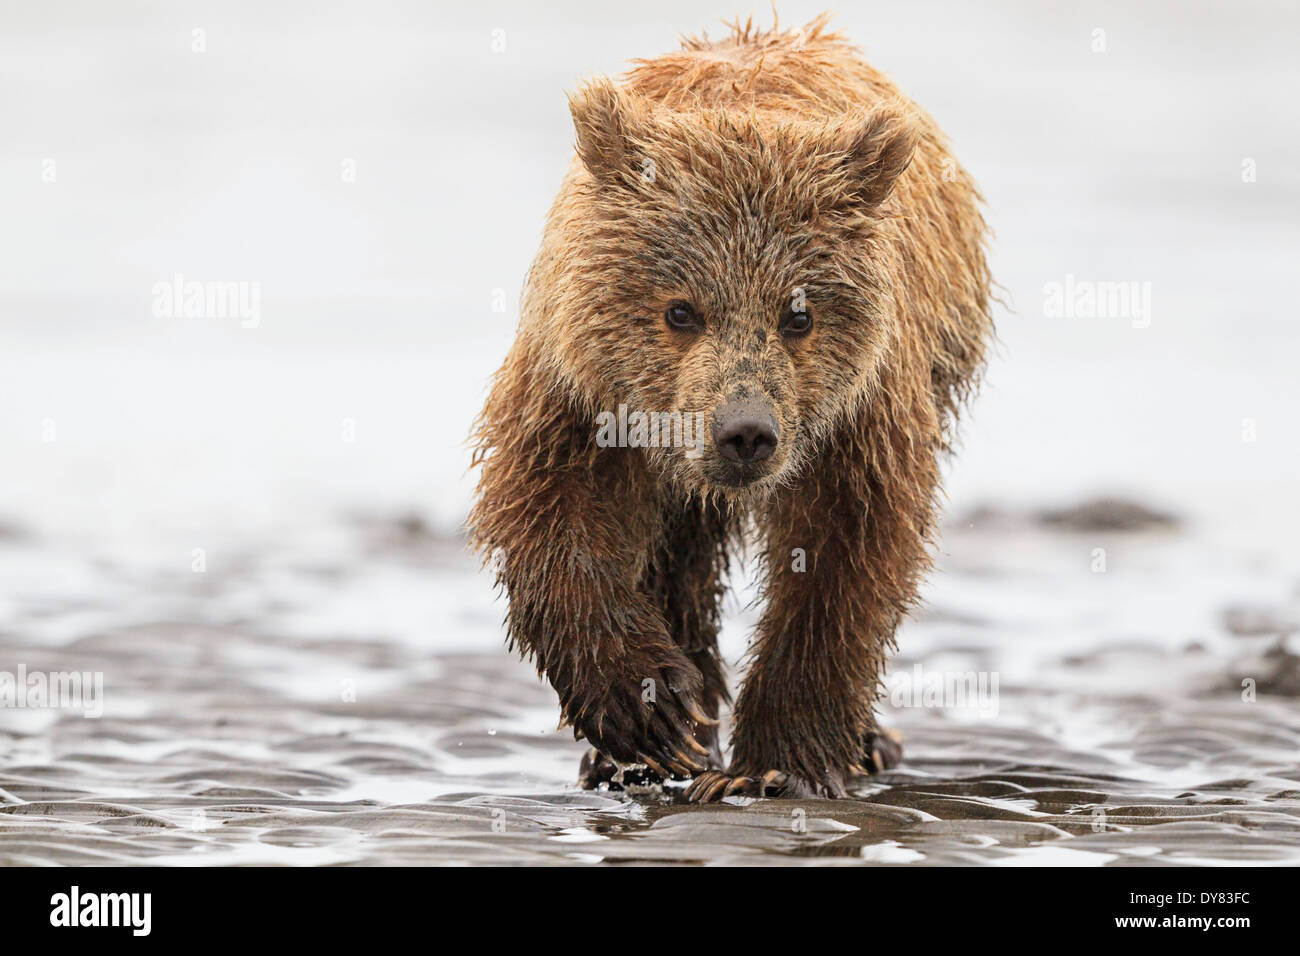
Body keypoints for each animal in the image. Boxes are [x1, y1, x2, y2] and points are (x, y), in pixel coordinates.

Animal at [469, 13, 993, 801]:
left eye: (799, 314)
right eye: (680, 310)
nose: (745, 432)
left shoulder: (860, 414)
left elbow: (845, 557)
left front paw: (777, 764)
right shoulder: (580, 386)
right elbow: (552, 513)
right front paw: (649, 707)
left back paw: (866, 743)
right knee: (675, 556)